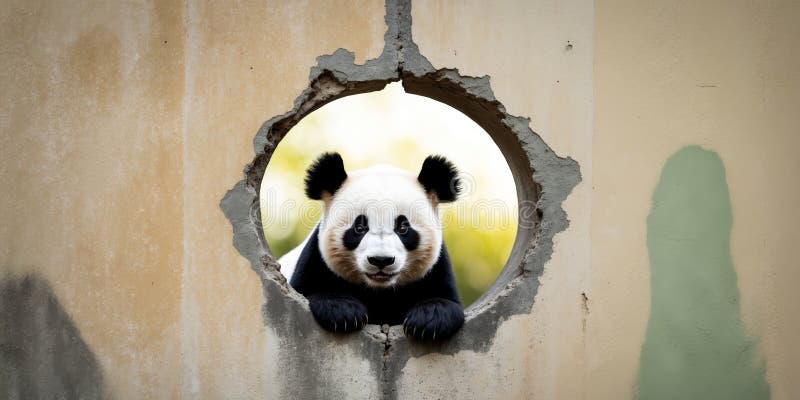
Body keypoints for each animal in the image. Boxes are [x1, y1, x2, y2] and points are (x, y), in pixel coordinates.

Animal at [278, 152, 465, 341]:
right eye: (359, 228)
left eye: (403, 228)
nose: (381, 260)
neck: (378, 291)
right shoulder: (315, 259)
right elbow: (309, 291)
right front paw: (344, 311)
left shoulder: (436, 266)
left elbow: (447, 303)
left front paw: (426, 320)